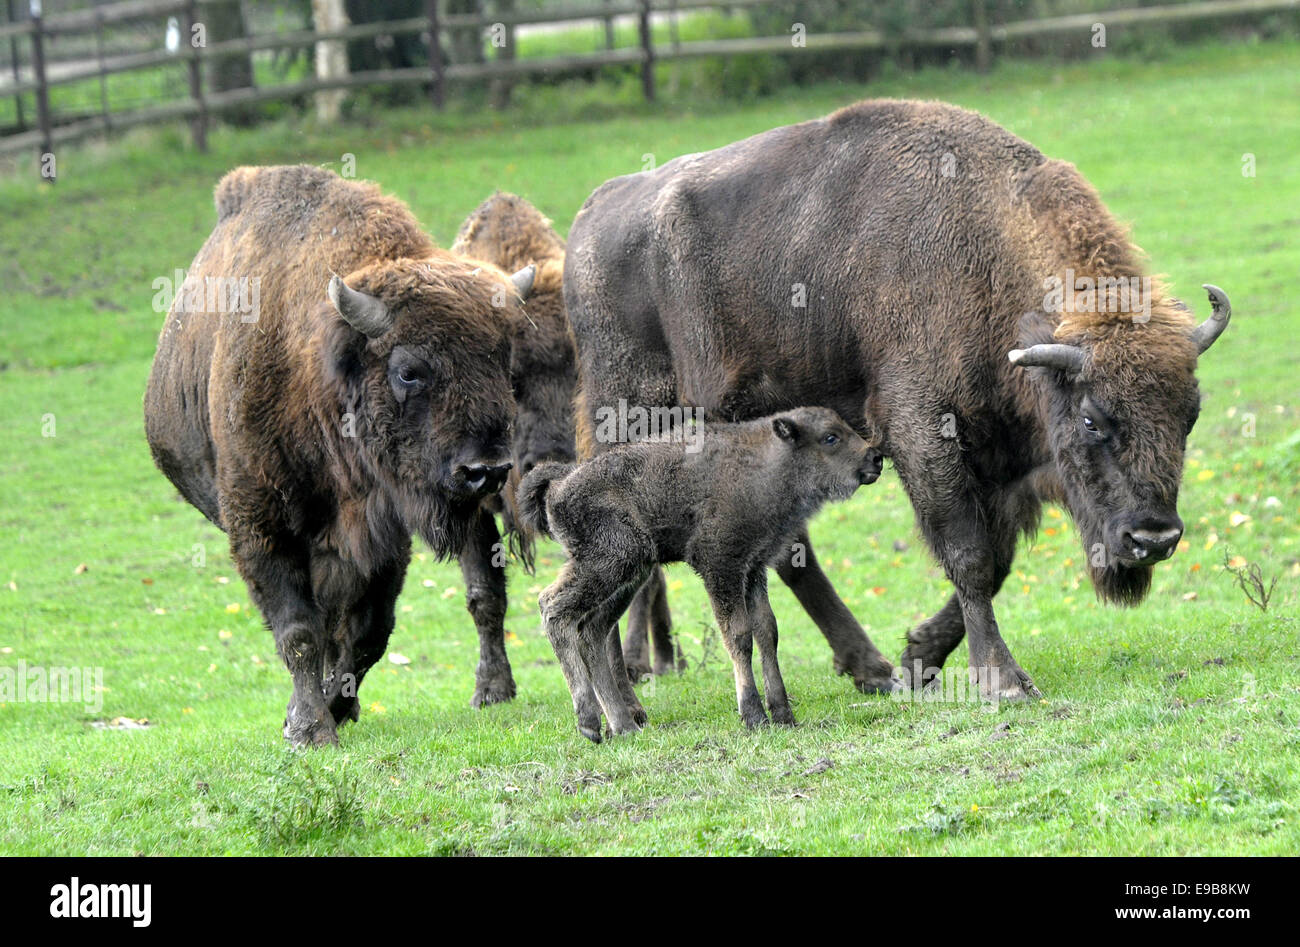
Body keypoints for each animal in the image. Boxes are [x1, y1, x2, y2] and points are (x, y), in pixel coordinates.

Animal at [563, 99, 1231, 700]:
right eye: (1092, 419)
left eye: (1190, 416)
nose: (1154, 539)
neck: (985, 248)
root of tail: (590, 219)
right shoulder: (922, 433)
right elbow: (970, 556)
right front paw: (1001, 681)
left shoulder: (1006, 467)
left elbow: (998, 561)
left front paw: (918, 661)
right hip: (633, 416)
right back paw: (630, 677)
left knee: (783, 550)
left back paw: (869, 669)